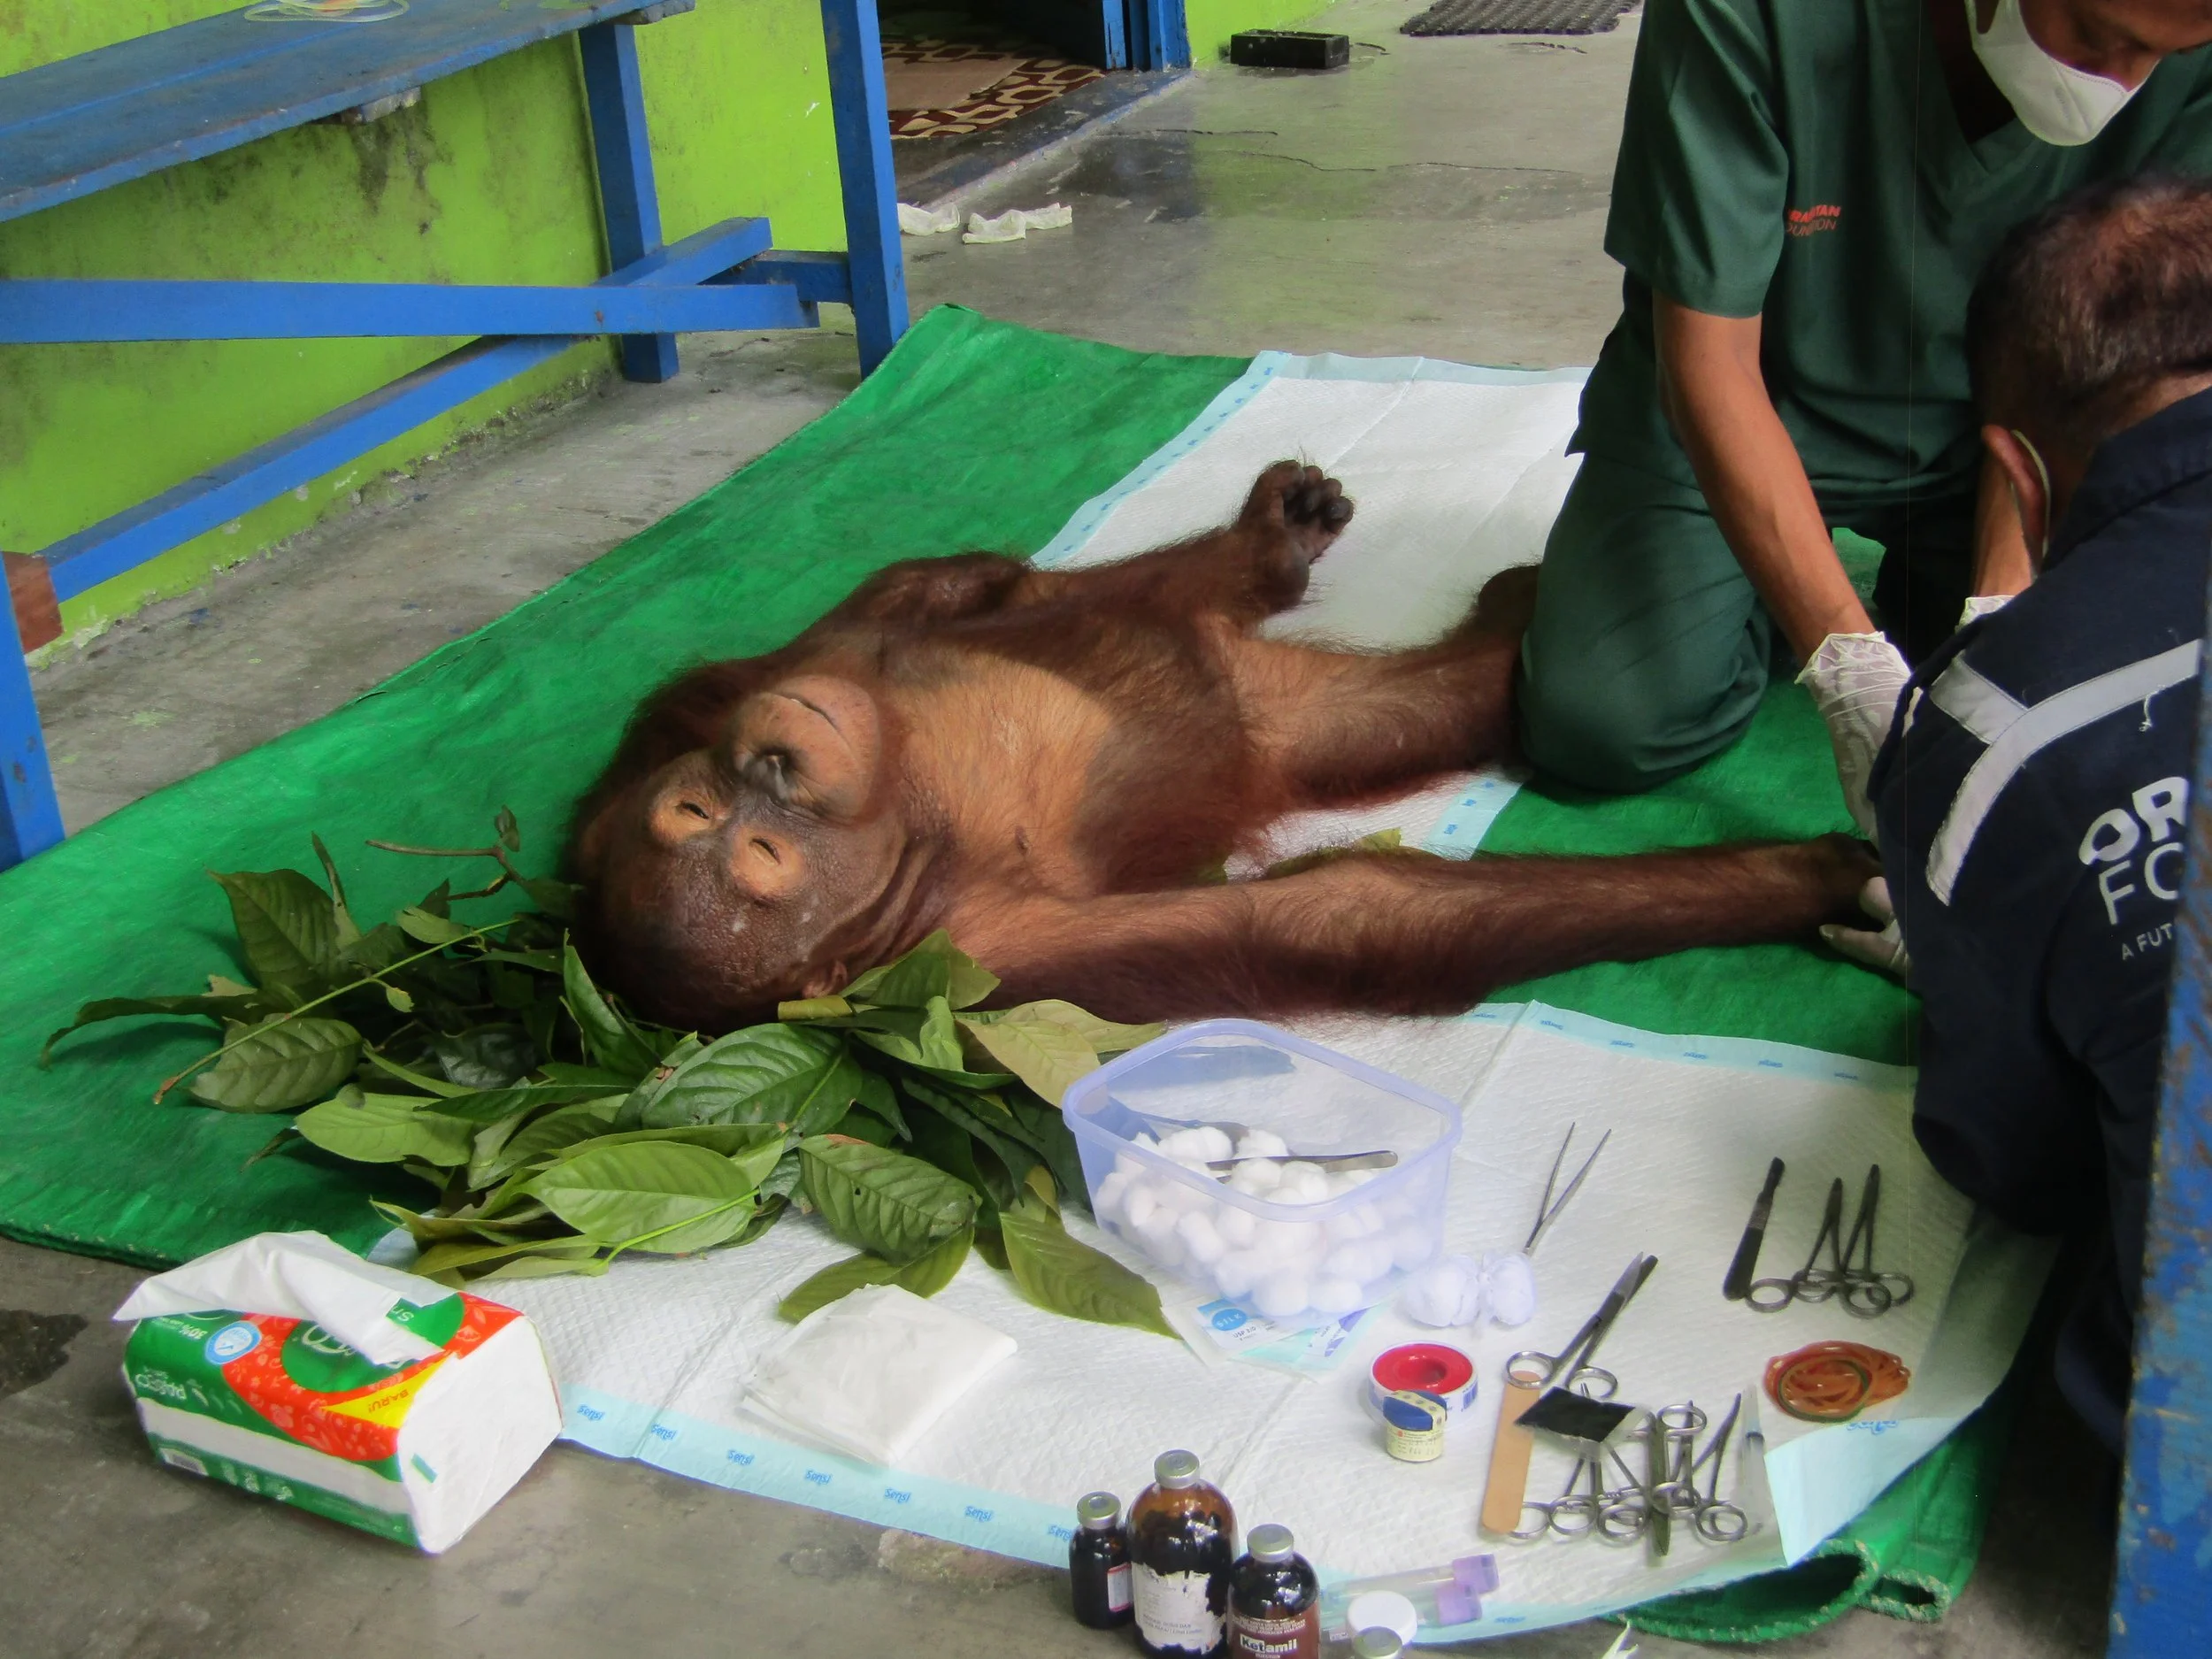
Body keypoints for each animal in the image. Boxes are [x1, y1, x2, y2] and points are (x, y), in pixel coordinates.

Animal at [567, 462, 1874, 1029]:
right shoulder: (983, 957)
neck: (905, 818)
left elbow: (903, 599)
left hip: (1236, 678)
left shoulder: (691, 714)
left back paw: (1295, 553)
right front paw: (1802, 877)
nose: (769, 769)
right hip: (1284, 717)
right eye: (757, 860)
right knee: (1434, 709)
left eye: (715, 818)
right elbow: (1333, 918)